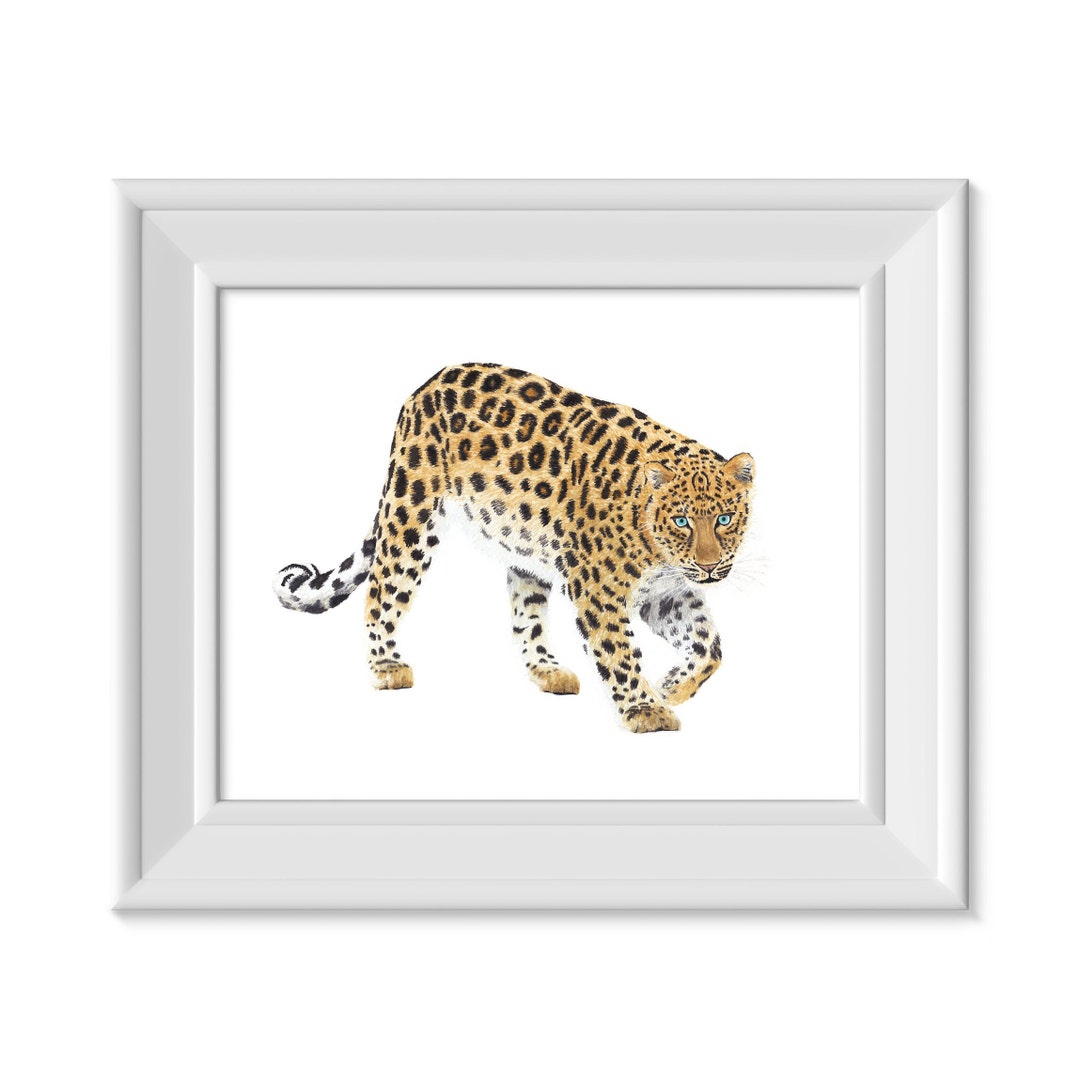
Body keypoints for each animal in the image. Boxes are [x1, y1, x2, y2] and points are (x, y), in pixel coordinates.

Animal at [275, 364, 755, 733]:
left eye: (725, 519)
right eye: (681, 521)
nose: (711, 567)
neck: (659, 551)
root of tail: (425, 386)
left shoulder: (666, 592)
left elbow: (709, 646)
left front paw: (672, 686)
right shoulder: (598, 591)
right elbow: (619, 653)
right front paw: (646, 710)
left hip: (528, 556)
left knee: (526, 618)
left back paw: (549, 670)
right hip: (411, 515)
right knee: (381, 592)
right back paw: (386, 666)